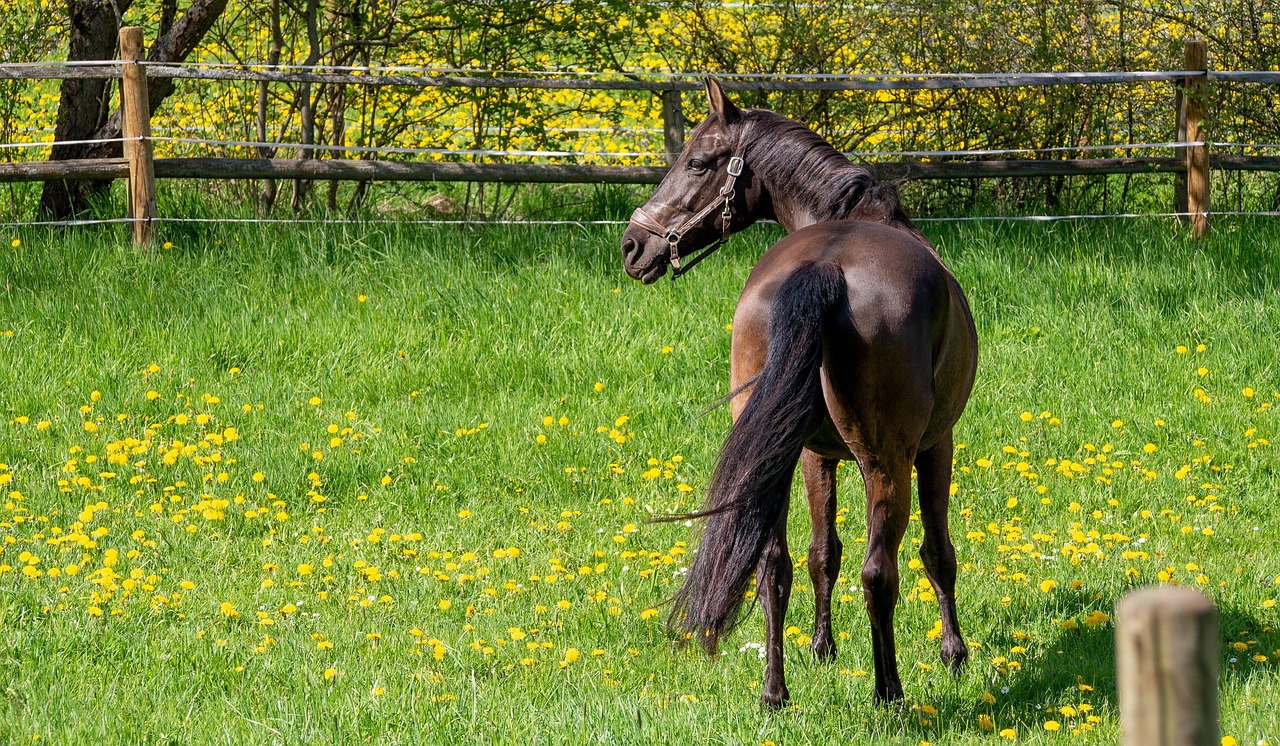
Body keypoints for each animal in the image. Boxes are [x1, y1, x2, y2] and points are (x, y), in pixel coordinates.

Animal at [619, 79, 978, 707]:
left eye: (699, 163)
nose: (633, 245)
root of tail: (824, 268)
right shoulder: (938, 444)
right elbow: (937, 553)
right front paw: (953, 654)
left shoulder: (814, 454)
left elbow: (820, 555)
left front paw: (822, 648)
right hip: (886, 462)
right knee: (879, 572)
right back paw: (888, 691)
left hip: (778, 456)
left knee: (773, 562)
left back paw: (774, 691)